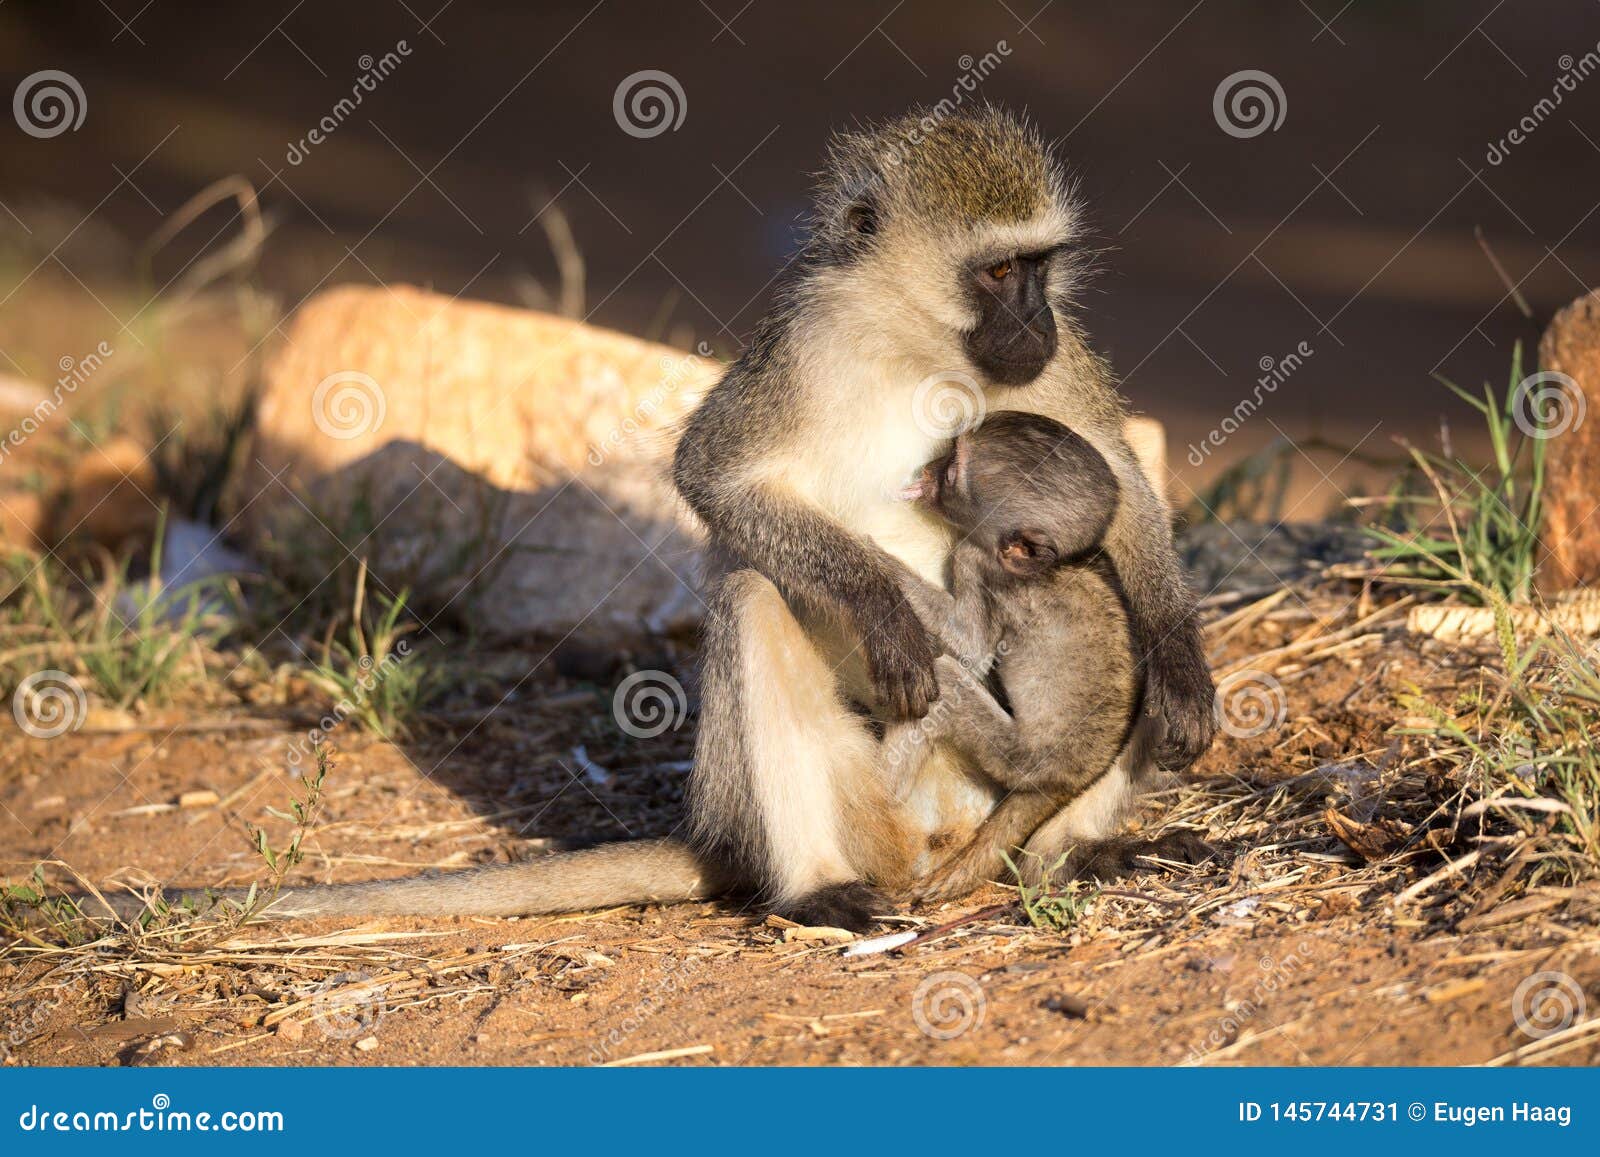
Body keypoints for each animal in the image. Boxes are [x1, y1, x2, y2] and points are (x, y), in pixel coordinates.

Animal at [53, 108, 1212, 932]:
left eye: (1044, 268)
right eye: (999, 271)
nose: (1039, 320)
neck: (915, 343)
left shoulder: (1051, 376)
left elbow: (1118, 476)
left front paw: (1182, 656)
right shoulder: (801, 346)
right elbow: (716, 477)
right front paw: (884, 609)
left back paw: (1075, 843)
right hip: (864, 801)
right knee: (755, 595)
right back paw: (815, 888)